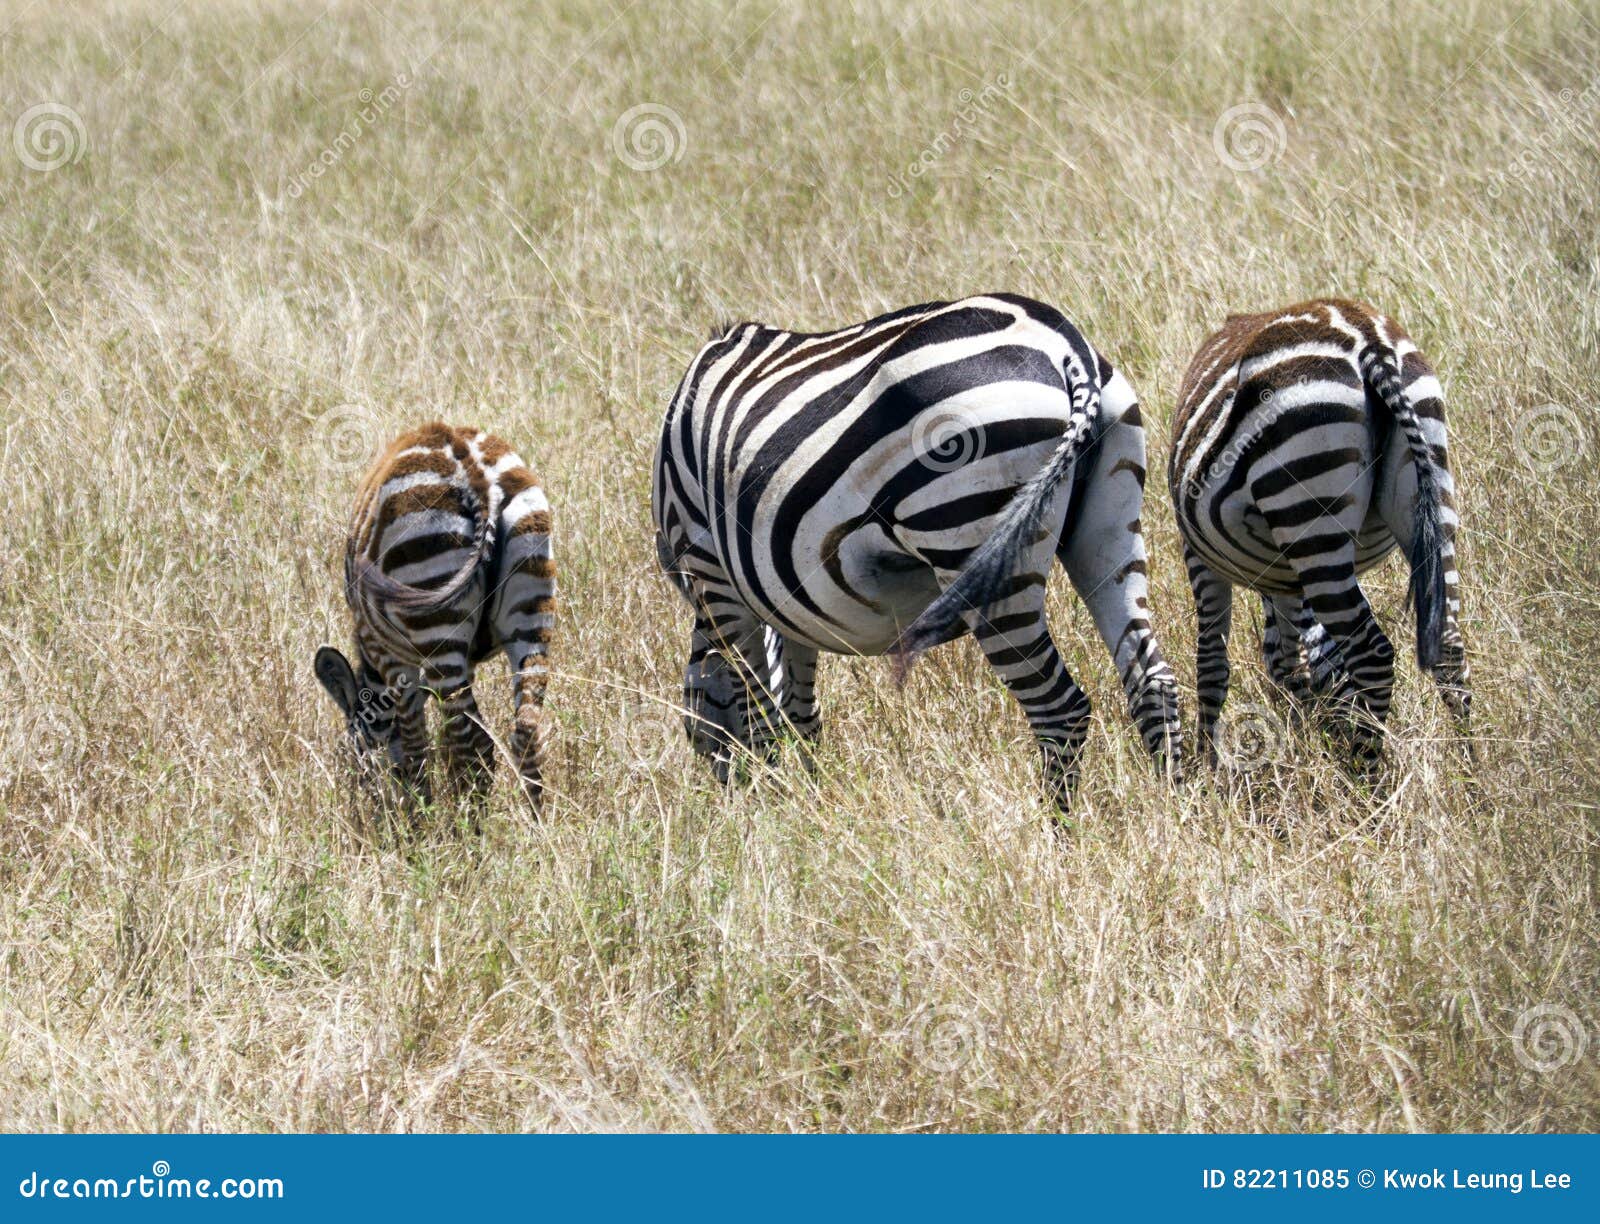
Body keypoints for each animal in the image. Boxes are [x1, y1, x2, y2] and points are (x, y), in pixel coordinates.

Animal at [313, 422, 555, 812]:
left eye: (353, 753)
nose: (367, 815)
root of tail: (476, 474)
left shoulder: (389, 657)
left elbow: (413, 746)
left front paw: (418, 819)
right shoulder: (465, 662)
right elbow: (442, 742)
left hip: (433, 604)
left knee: (470, 745)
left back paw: (468, 828)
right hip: (531, 606)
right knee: (525, 732)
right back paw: (537, 826)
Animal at [651, 293, 1182, 810]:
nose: (727, 791)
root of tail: (1068, 350)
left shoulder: (713, 571)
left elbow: (760, 711)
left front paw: (778, 808)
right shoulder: (784, 602)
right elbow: (799, 711)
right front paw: (813, 802)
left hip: (966, 526)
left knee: (1060, 709)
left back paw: (1059, 829)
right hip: (1110, 528)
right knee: (1151, 678)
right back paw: (1176, 807)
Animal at [1167, 298, 1470, 769]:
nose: (1330, 730)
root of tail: (1370, 342)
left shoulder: (1199, 555)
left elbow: (1213, 660)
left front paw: (1209, 767)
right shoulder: (1286, 579)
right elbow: (1289, 659)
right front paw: (1301, 742)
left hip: (1310, 505)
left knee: (1373, 656)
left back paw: (1366, 777)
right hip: (1429, 492)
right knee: (1450, 650)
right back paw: (1474, 769)